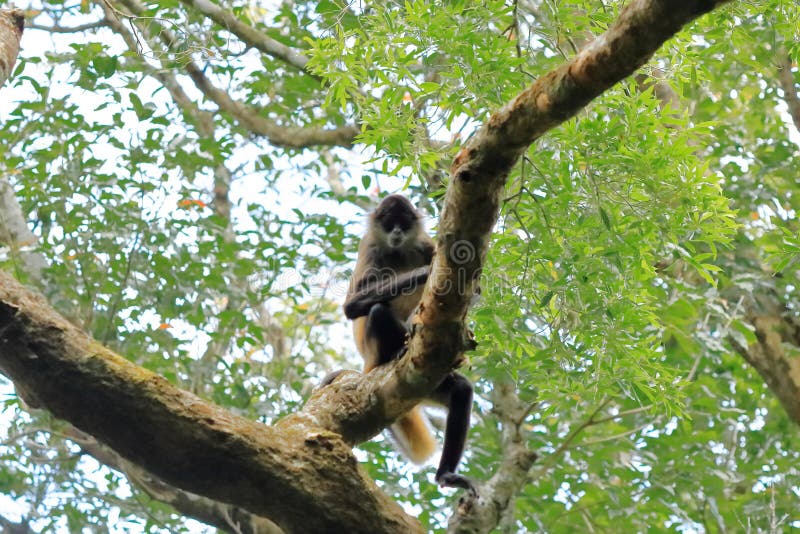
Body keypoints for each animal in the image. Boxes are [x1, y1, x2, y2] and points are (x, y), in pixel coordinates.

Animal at [341, 194, 475, 494]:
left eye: (402, 223)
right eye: (389, 223)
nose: (397, 233)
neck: (398, 251)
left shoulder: (424, 244)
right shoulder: (371, 246)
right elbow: (352, 306)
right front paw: (426, 272)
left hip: (430, 385)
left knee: (461, 390)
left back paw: (445, 475)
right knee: (378, 310)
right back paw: (399, 349)